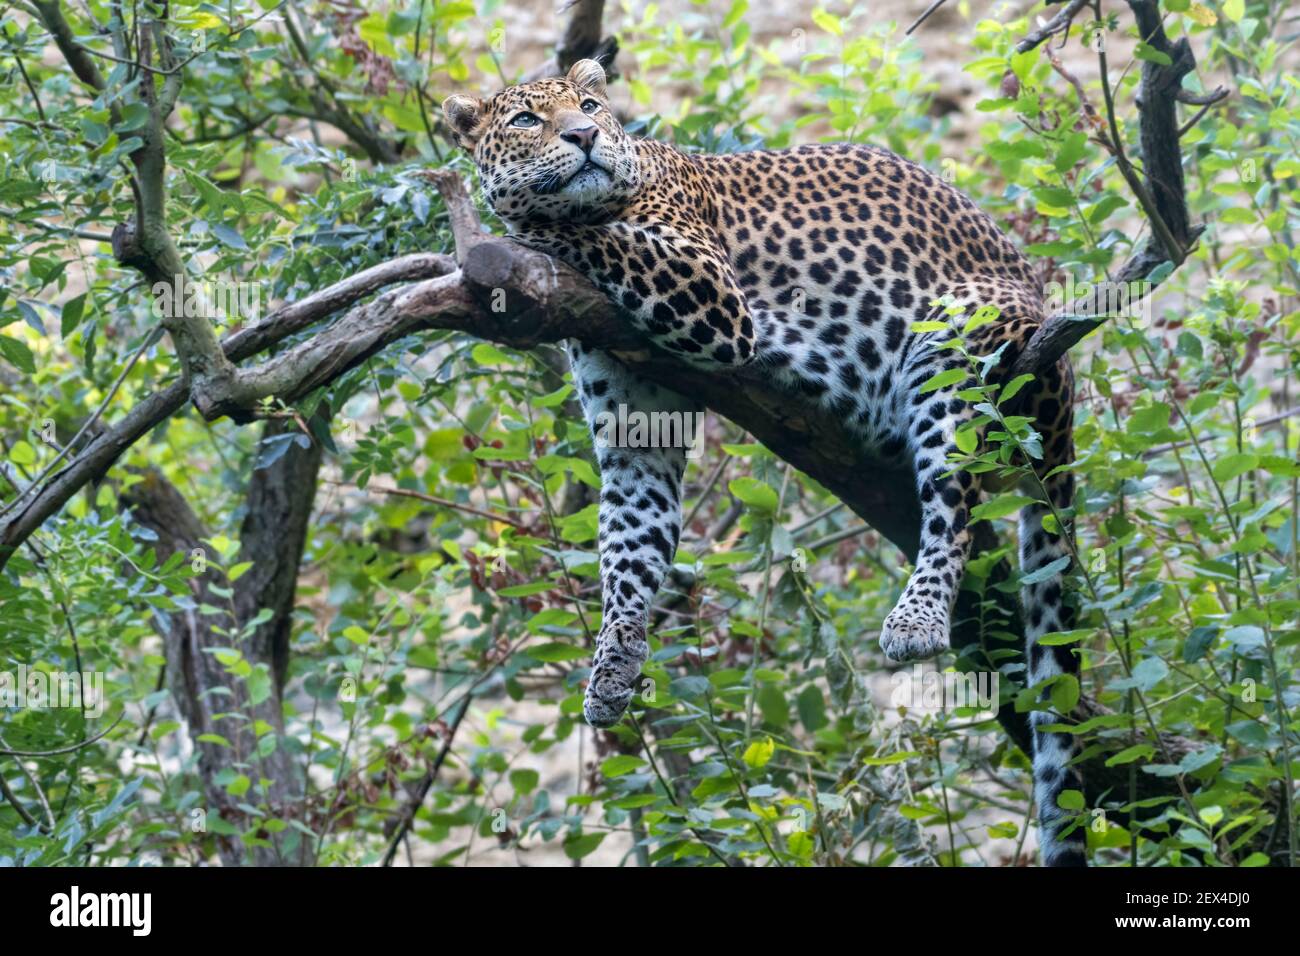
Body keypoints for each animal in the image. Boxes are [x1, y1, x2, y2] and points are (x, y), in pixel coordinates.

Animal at [443, 59, 1084, 866]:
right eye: (528, 120)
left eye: (589, 104)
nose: (585, 136)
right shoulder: (635, 428)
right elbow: (629, 555)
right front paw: (613, 670)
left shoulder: (711, 295)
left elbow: (592, 231)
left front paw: (524, 224)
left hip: (956, 340)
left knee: (954, 500)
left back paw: (918, 618)